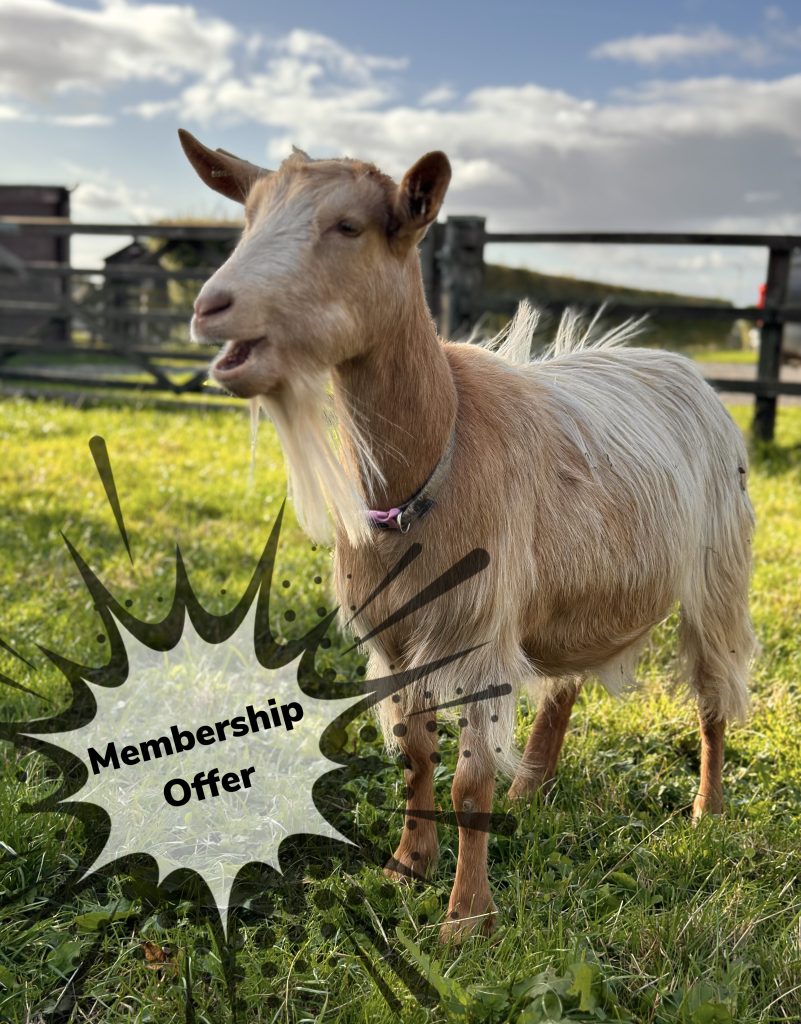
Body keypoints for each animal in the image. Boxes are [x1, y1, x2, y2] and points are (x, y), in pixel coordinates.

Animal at [179, 129, 756, 942]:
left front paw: (465, 918)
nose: (212, 309)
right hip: (571, 591)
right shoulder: (395, 637)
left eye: (348, 226)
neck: (427, 465)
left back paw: (707, 809)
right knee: (563, 685)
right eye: (249, 216)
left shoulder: (478, 628)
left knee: (711, 694)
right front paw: (406, 866)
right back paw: (533, 789)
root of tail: (682, 366)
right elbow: (415, 756)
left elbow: (468, 781)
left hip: (716, 574)